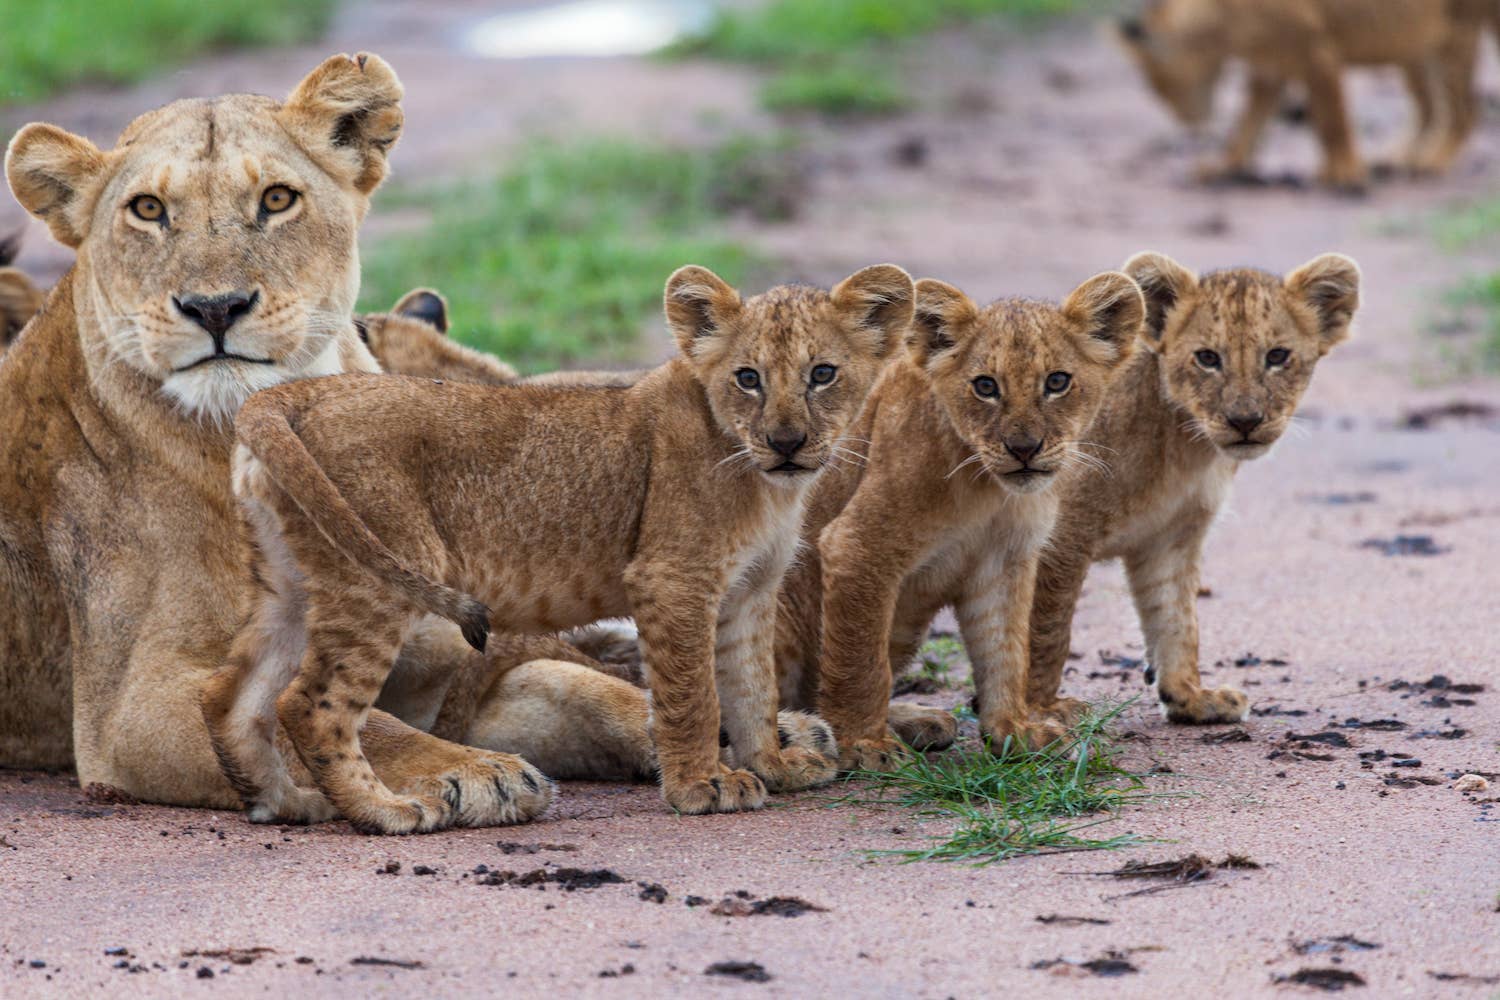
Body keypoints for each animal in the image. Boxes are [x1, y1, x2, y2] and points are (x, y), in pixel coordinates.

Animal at [207, 264, 909, 833]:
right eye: (748, 378)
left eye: (823, 375)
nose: (787, 442)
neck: (762, 478)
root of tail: (284, 394)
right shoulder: (671, 580)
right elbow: (691, 693)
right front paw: (701, 787)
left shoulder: (751, 591)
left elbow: (752, 689)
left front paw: (776, 765)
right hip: (377, 578)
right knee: (310, 705)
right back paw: (384, 811)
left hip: (293, 585)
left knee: (231, 694)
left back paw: (288, 803)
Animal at [770, 271, 1146, 769]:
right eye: (985, 386)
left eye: (1057, 381)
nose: (1023, 449)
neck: (987, 490)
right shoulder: (855, 546)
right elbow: (860, 661)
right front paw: (864, 745)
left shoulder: (1004, 561)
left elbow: (1006, 650)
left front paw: (1016, 731)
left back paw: (918, 721)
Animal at [1025, 252, 1360, 726]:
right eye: (1207, 358)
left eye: (1277, 356)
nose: (1245, 421)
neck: (1187, 449)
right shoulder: (1060, 535)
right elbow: (1046, 629)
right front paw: (1039, 713)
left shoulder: (1169, 536)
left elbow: (1176, 618)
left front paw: (1190, 697)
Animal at [1117, 0, 1491, 188]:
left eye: (1158, 86)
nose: (1186, 120)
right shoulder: (1272, 65)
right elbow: (1249, 123)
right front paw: (1226, 166)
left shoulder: (1316, 51)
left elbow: (1333, 120)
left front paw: (1345, 174)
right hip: (1415, 45)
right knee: (1429, 108)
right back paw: (1398, 158)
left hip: (1454, 36)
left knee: (1465, 111)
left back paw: (1433, 162)